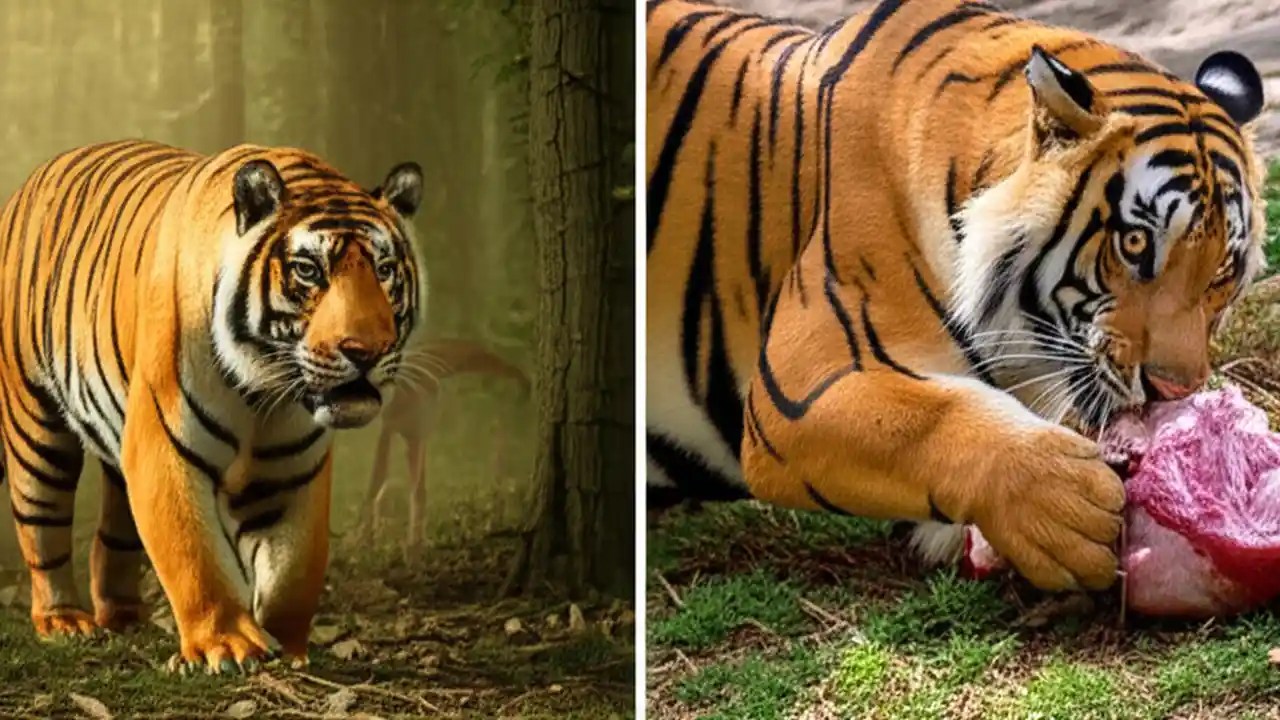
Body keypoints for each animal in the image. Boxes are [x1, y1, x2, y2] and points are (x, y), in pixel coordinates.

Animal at [0, 140, 424, 672]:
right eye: (308, 271)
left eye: (385, 271)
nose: (365, 352)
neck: (264, 395)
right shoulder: (164, 448)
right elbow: (195, 555)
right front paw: (227, 646)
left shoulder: (292, 471)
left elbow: (293, 570)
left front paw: (289, 648)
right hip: (35, 426)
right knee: (42, 524)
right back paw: (64, 621)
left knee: (115, 533)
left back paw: (125, 618)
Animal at [646, 0, 1267, 592]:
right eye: (1135, 243)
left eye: (1222, 270)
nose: (1173, 391)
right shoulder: (798, 386)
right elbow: (924, 421)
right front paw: (1065, 506)